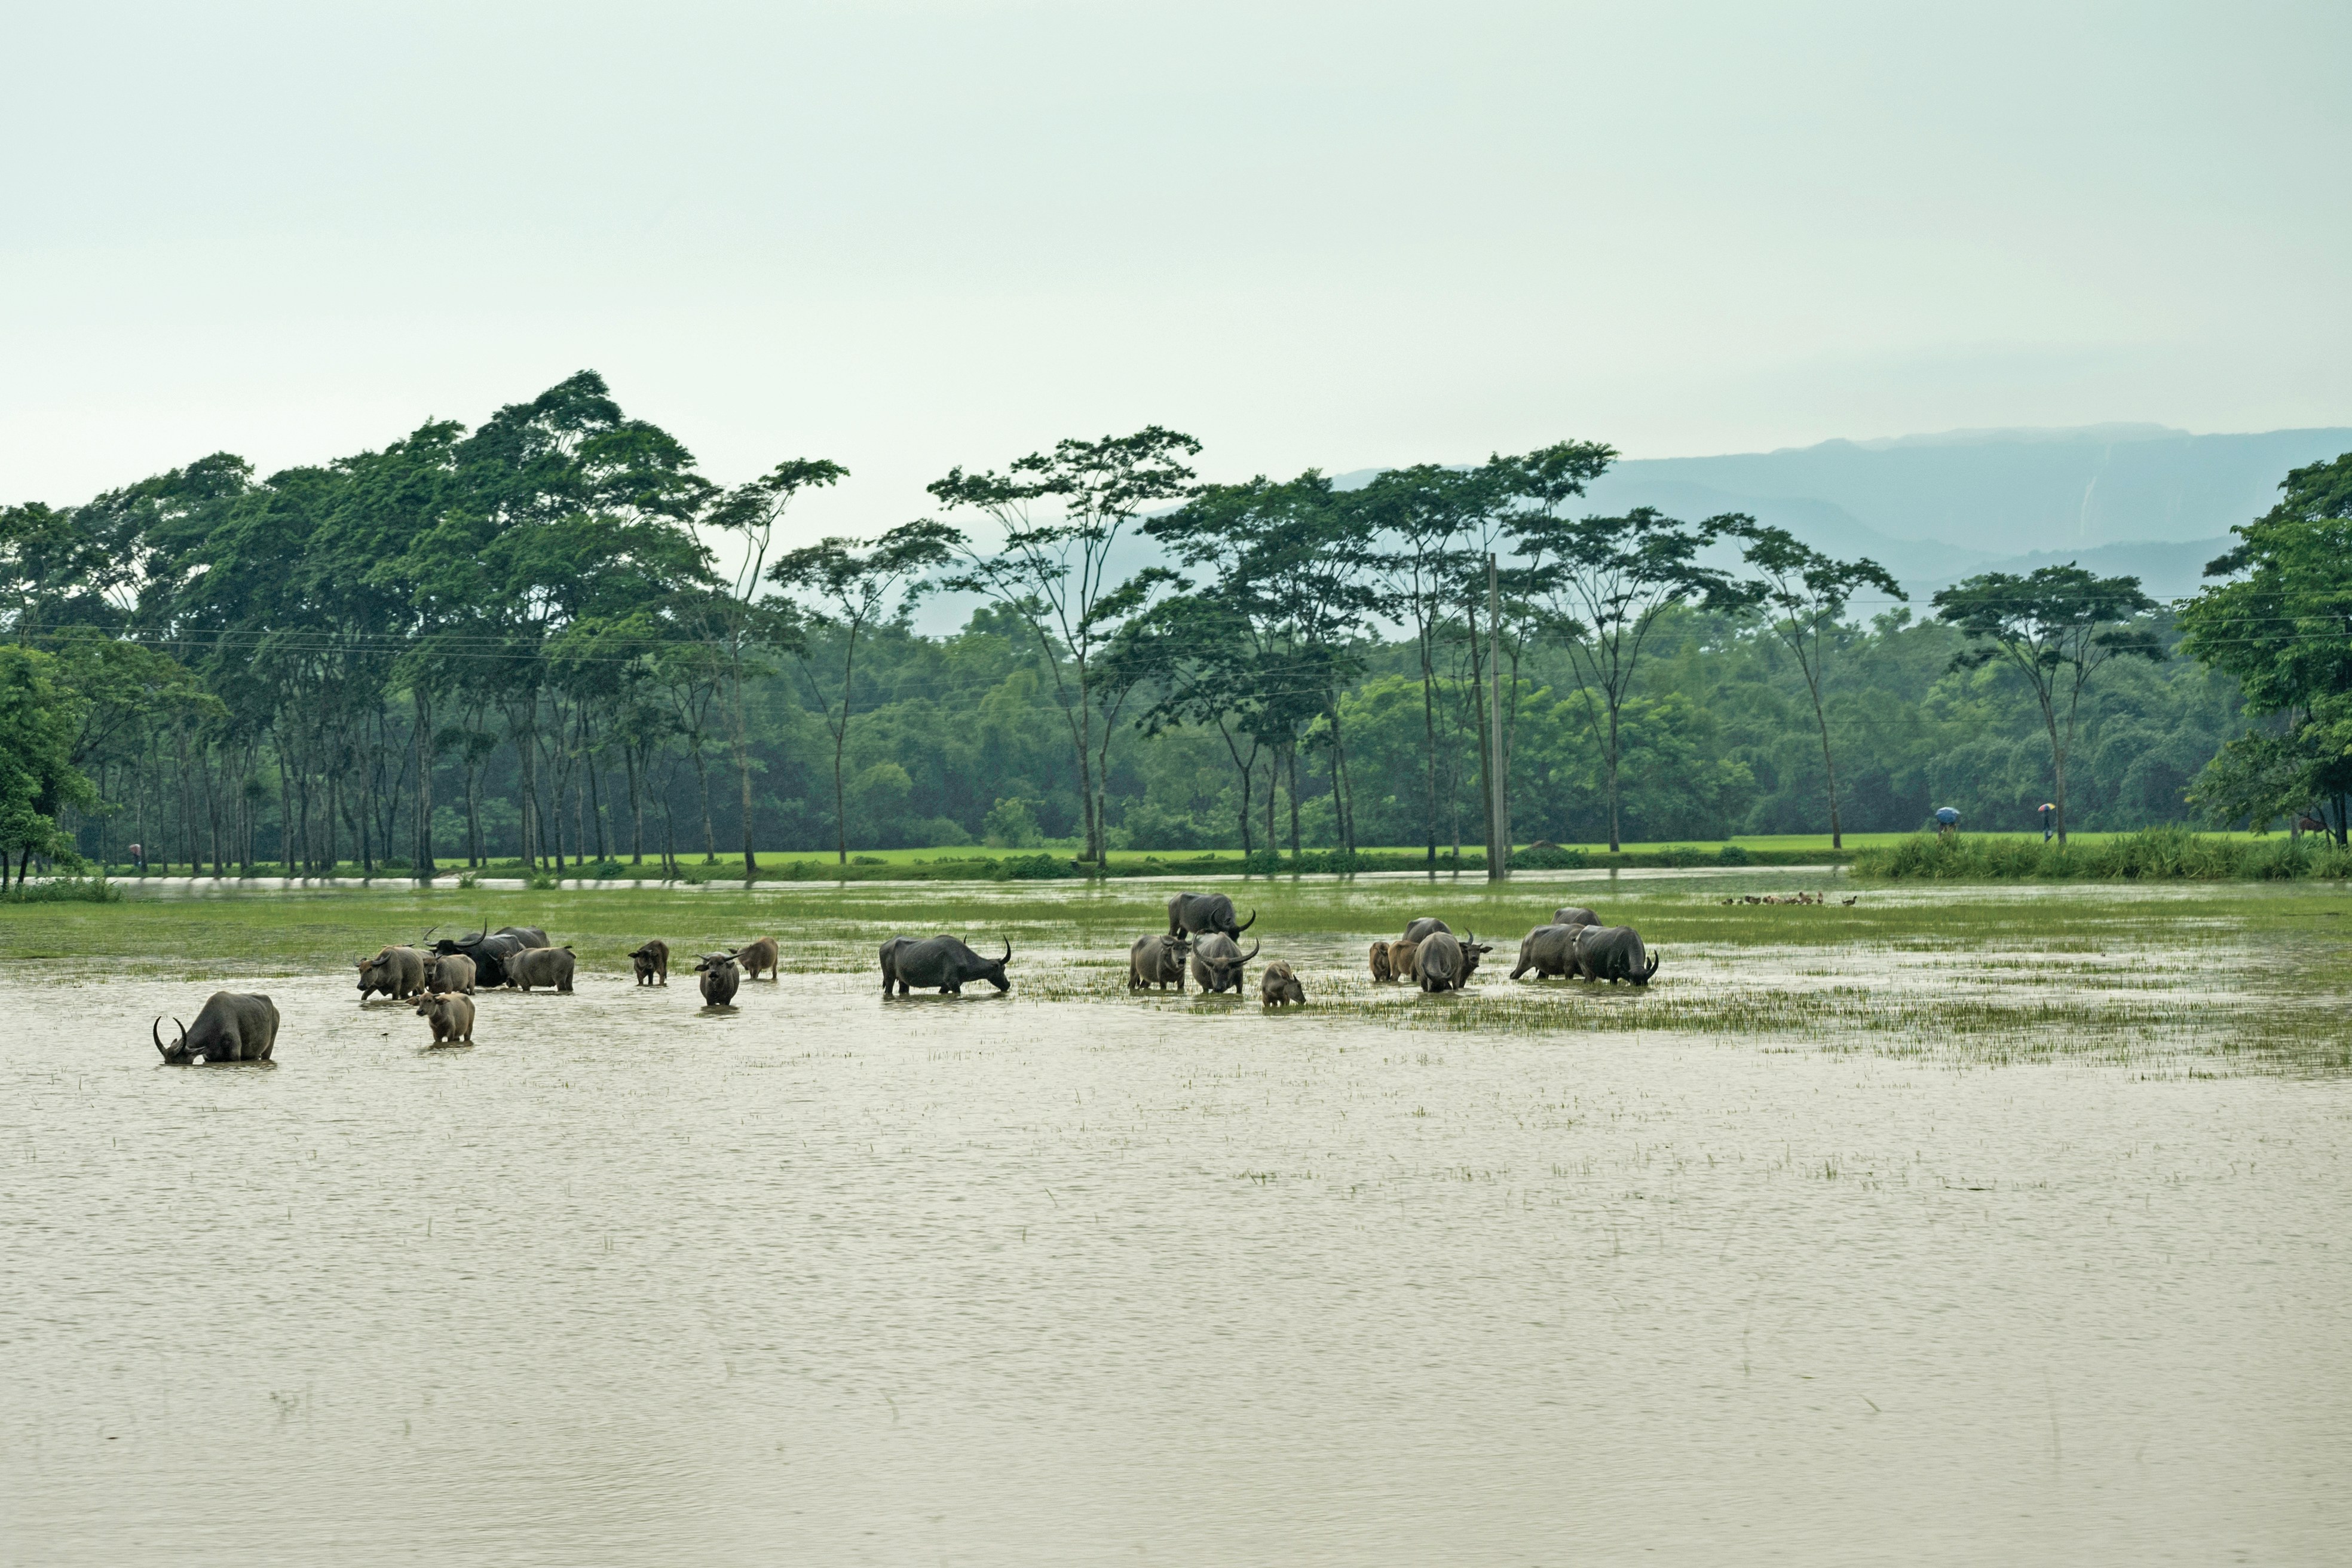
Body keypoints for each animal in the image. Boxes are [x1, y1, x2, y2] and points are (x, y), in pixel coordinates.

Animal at [154, 992, 279, 1064]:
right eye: (166, 1062)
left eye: (180, 1062)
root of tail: (275, 1009)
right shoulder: (208, 1058)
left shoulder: (234, 1058)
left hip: (268, 1048)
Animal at [883, 935, 1012, 995]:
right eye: (1003, 968)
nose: (1008, 984)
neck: (964, 957)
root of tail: (884, 945)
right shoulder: (953, 983)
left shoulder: (946, 986)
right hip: (889, 978)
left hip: (904, 982)